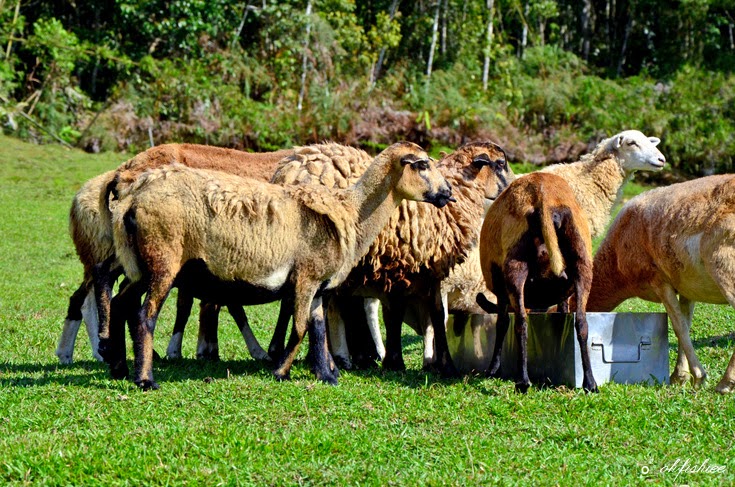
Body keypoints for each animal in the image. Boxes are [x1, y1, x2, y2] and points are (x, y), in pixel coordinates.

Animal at [109, 142, 453, 389]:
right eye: (423, 165)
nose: (447, 193)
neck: (351, 213)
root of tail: (133, 201)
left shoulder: (317, 286)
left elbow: (317, 329)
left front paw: (327, 375)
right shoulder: (305, 278)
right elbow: (301, 328)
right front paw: (281, 371)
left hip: (141, 265)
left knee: (119, 302)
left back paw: (119, 368)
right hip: (163, 261)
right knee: (144, 315)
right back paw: (145, 379)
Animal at [271, 141, 513, 375]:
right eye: (501, 163)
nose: (514, 187)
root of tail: (289, 169)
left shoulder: (413, 270)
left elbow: (411, 315)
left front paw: (407, 360)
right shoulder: (417, 269)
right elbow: (427, 316)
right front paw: (429, 364)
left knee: (294, 301)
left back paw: (282, 352)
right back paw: (328, 360)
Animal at [478, 172, 597, 393]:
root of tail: (545, 197)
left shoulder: (500, 290)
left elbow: (502, 323)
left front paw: (493, 369)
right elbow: (564, 311)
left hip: (515, 265)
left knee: (521, 323)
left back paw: (523, 381)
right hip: (582, 261)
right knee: (582, 322)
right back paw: (590, 383)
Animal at [587, 174, 735, 393]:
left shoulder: (658, 279)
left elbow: (678, 326)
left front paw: (698, 377)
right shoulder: (686, 287)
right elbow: (686, 323)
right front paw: (679, 377)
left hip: (724, 266)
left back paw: (724, 384)